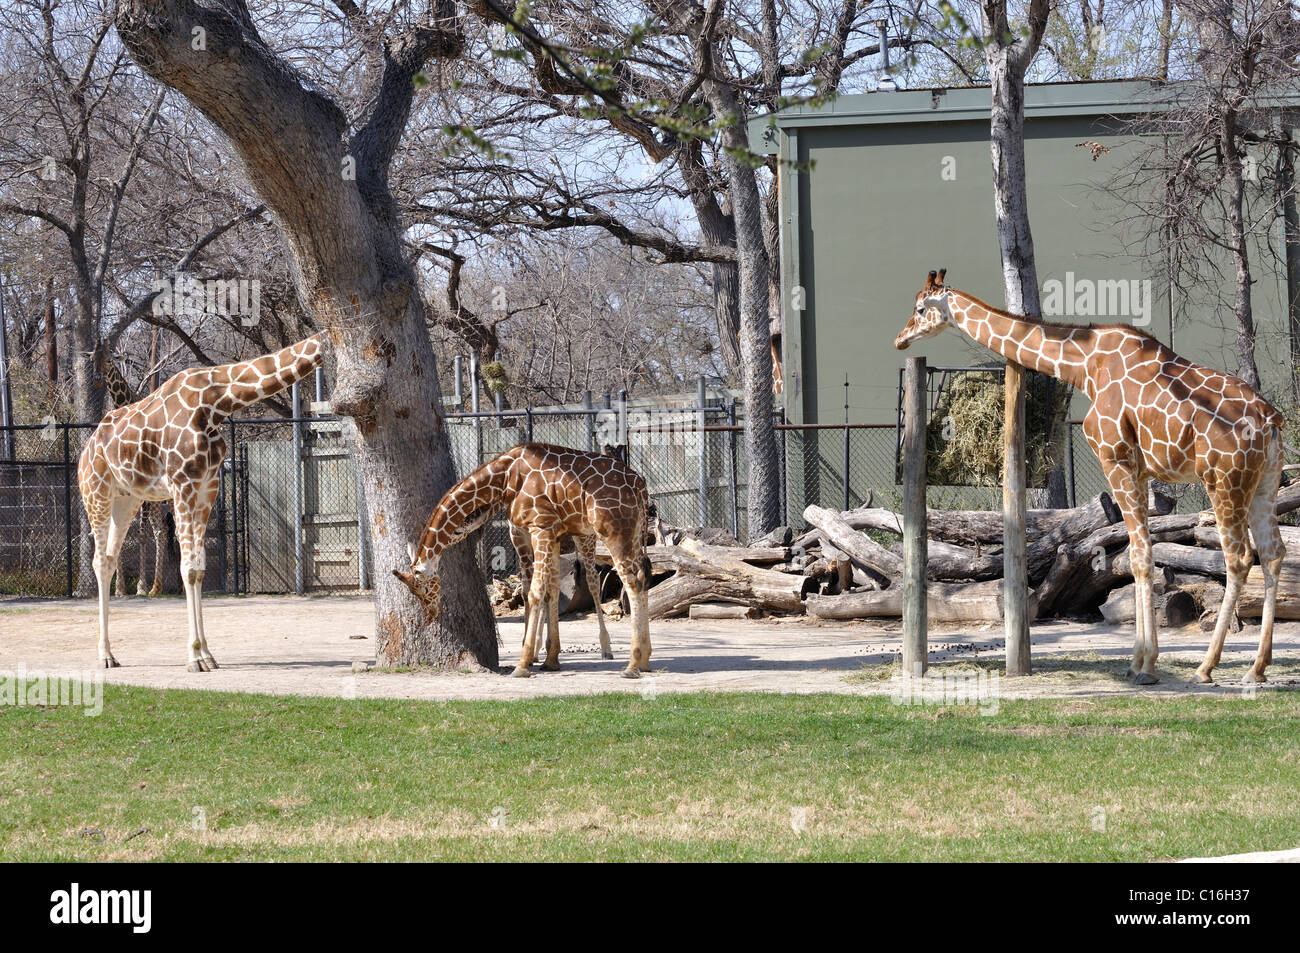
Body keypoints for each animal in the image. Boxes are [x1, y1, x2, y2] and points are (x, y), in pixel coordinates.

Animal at [92, 344, 169, 598]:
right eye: (92, 359)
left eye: (109, 359)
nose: (97, 380)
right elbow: (118, 536)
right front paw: (119, 588)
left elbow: (141, 534)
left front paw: (140, 586)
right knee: (162, 530)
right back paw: (156, 586)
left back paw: (156, 587)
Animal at [393, 442, 652, 678]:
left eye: (425, 588)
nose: (432, 615)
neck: (504, 478)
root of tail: (641, 486)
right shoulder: (551, 534)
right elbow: (551, 590)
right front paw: (550, 659)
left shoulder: (540, 527)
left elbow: (535, 592)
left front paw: (523, 664)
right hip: (635, 533)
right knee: (643, 578)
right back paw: (645, 660)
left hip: (611, 533)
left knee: (626, 583)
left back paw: (629, 664)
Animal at [895, 269, 1285, 686]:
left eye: (920, 308)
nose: (900, 338)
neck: (1085, 366)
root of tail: (1269, 420)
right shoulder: (1139, 468)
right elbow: (1141, 553)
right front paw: (1141, 661)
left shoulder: (1115, 457)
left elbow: (1139, 558)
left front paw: (1144, 665)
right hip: (1264, 484)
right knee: (1274, 553)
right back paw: (1257, 668)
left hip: (1224, 480)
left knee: (1240, 558)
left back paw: (1206, 667)